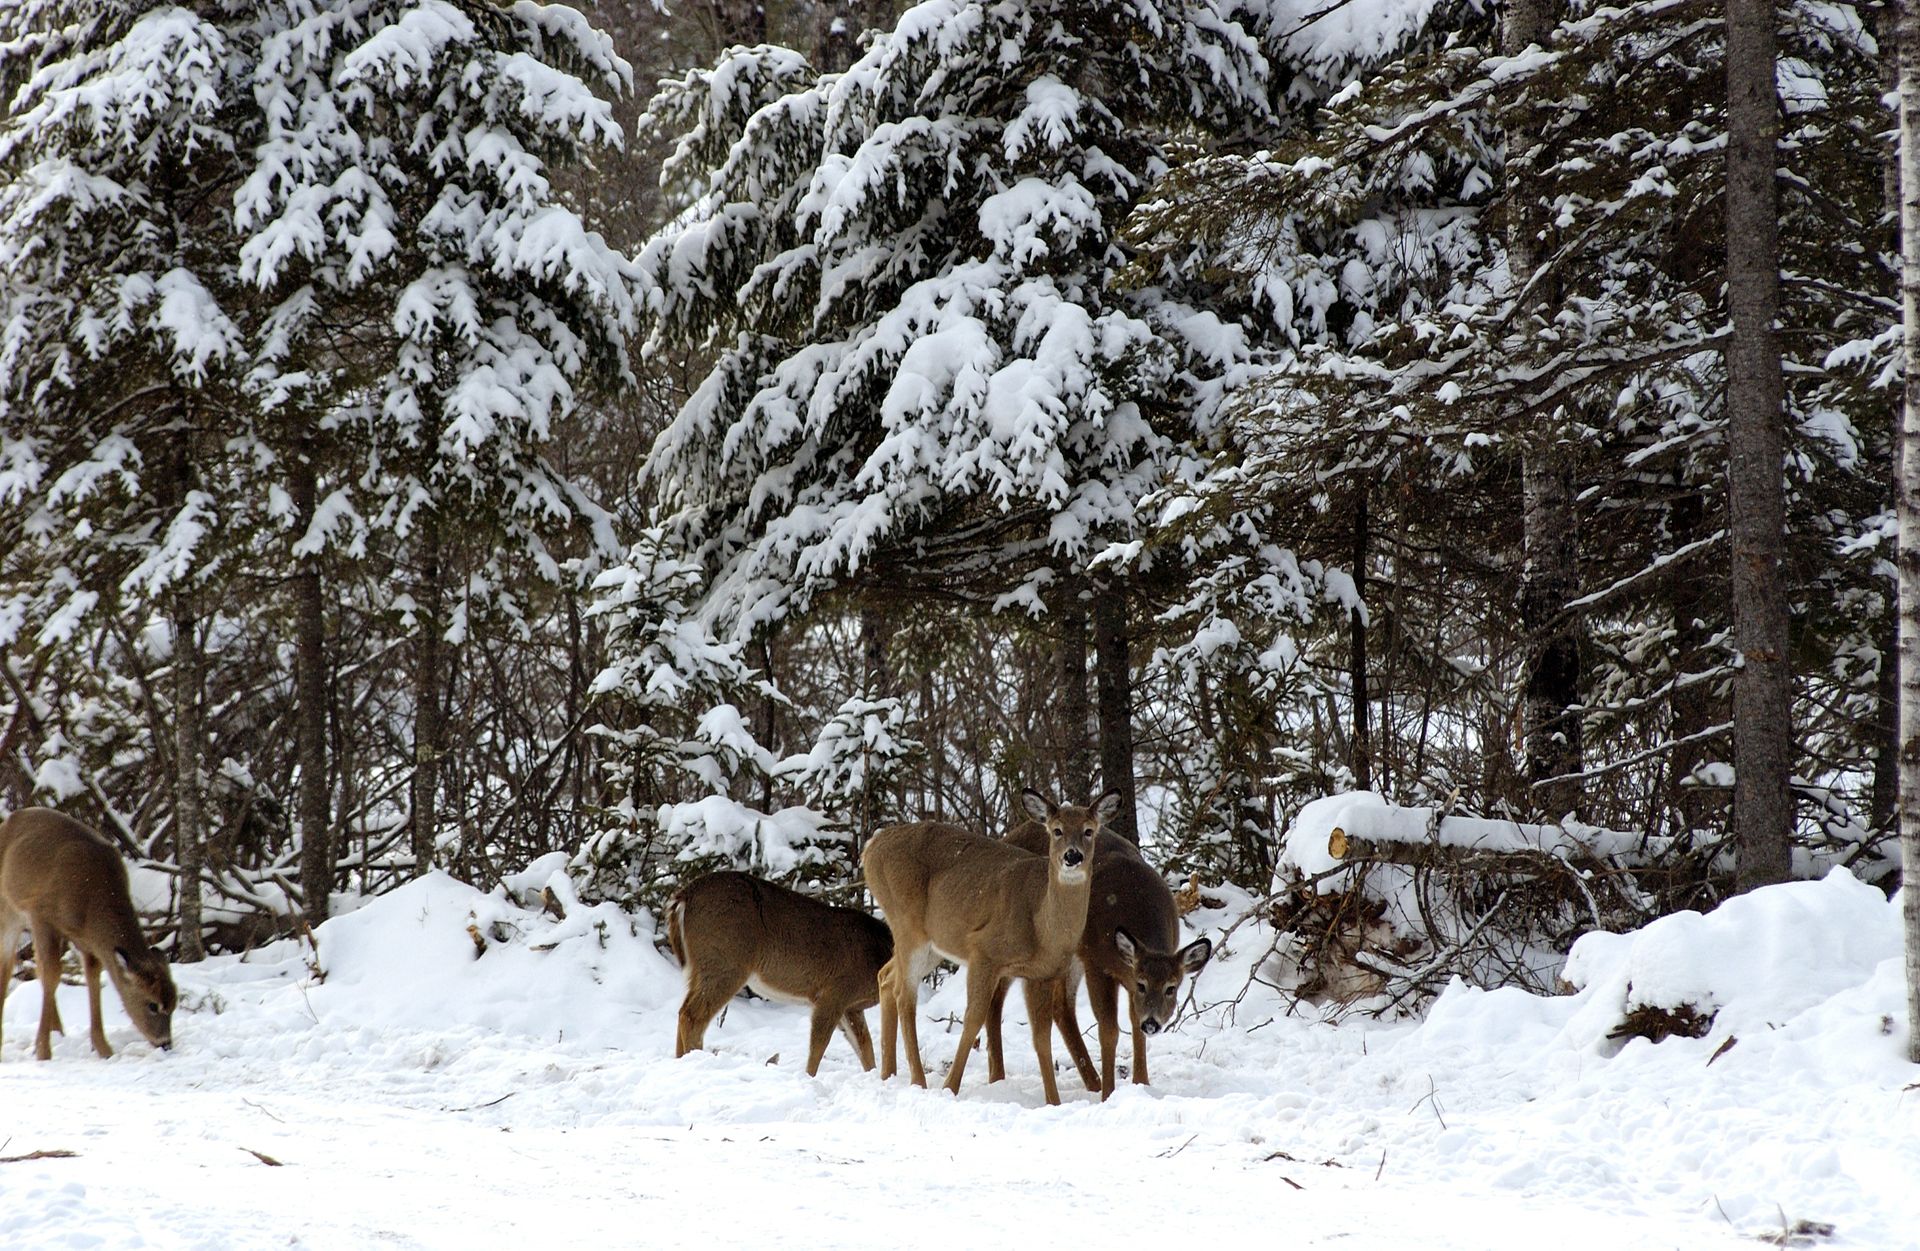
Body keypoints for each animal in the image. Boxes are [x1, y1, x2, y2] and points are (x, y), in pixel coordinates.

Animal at [0, 807, 177, 1061]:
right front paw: (43, 1051)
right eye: (152, 1005)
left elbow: (92, 976)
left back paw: (59, 1031)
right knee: (8, 967)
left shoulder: (87, 939)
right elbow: (52, 974)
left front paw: (103, 1048)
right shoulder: (41, 914)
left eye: (174, 1003)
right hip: (9, 911)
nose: (165, 1043)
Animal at [665, 870, 894, 1076]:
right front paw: (808, 1077)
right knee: (692, 1015)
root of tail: (683, 896)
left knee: (683, 1010)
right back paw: (695, 1060)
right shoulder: (834, 992)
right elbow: (819, 1043)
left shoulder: (851, 1007)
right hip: (726, 962)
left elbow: (864, 1045)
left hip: (701, 967)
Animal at [861, 787, 1116, 1105]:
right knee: (904, 994)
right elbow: (973, 1017)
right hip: (908, 925)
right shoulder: (983, 951)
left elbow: (1041, 1037)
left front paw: (1053, 1102)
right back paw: (918, 1080)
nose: (1072, 855)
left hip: (932, 943)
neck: (1042, 927)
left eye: (1089, 831)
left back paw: (888, 1074)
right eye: (1056, 830)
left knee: (886, 976)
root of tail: (871, 847)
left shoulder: (1041, 974)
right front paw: (950, 1087)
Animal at [985, 822, 1212, 1099]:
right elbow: (1109, 1031)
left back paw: (1092, 1082)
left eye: (1171, 987)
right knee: (996, 998)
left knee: (1061, 1006)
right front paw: (1109, 1094)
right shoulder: (1096, 963)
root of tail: (1009, 835)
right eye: (1142, 984)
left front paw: (1141, 1084)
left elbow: (1134, 1026)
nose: (1152, 1023)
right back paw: (997, 1077)